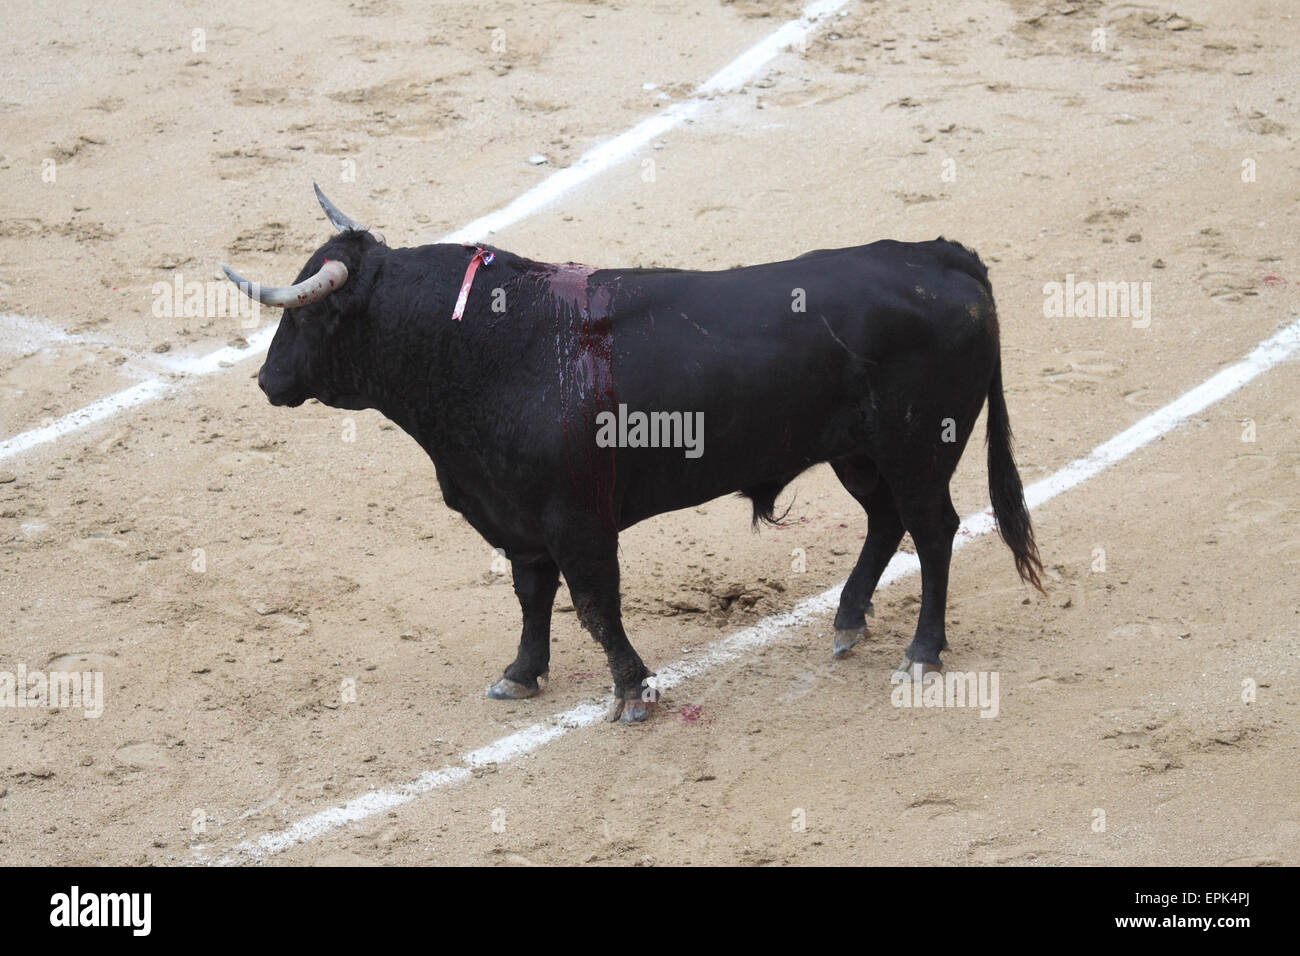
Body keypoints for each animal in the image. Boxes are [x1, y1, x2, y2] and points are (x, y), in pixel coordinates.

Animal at [222, 185, 1044, 723]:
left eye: (311, 315)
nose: (266, 380)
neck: (484, 345)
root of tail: (944, 257)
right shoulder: (520, 519)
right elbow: (532, 597)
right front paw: (521, 675)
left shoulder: (577, 521)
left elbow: (594, 605)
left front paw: (633, 692)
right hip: (860, 454)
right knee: (886, 522)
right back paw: (847, 623)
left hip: (917, 448)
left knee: (934, 529)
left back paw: (923, 652)